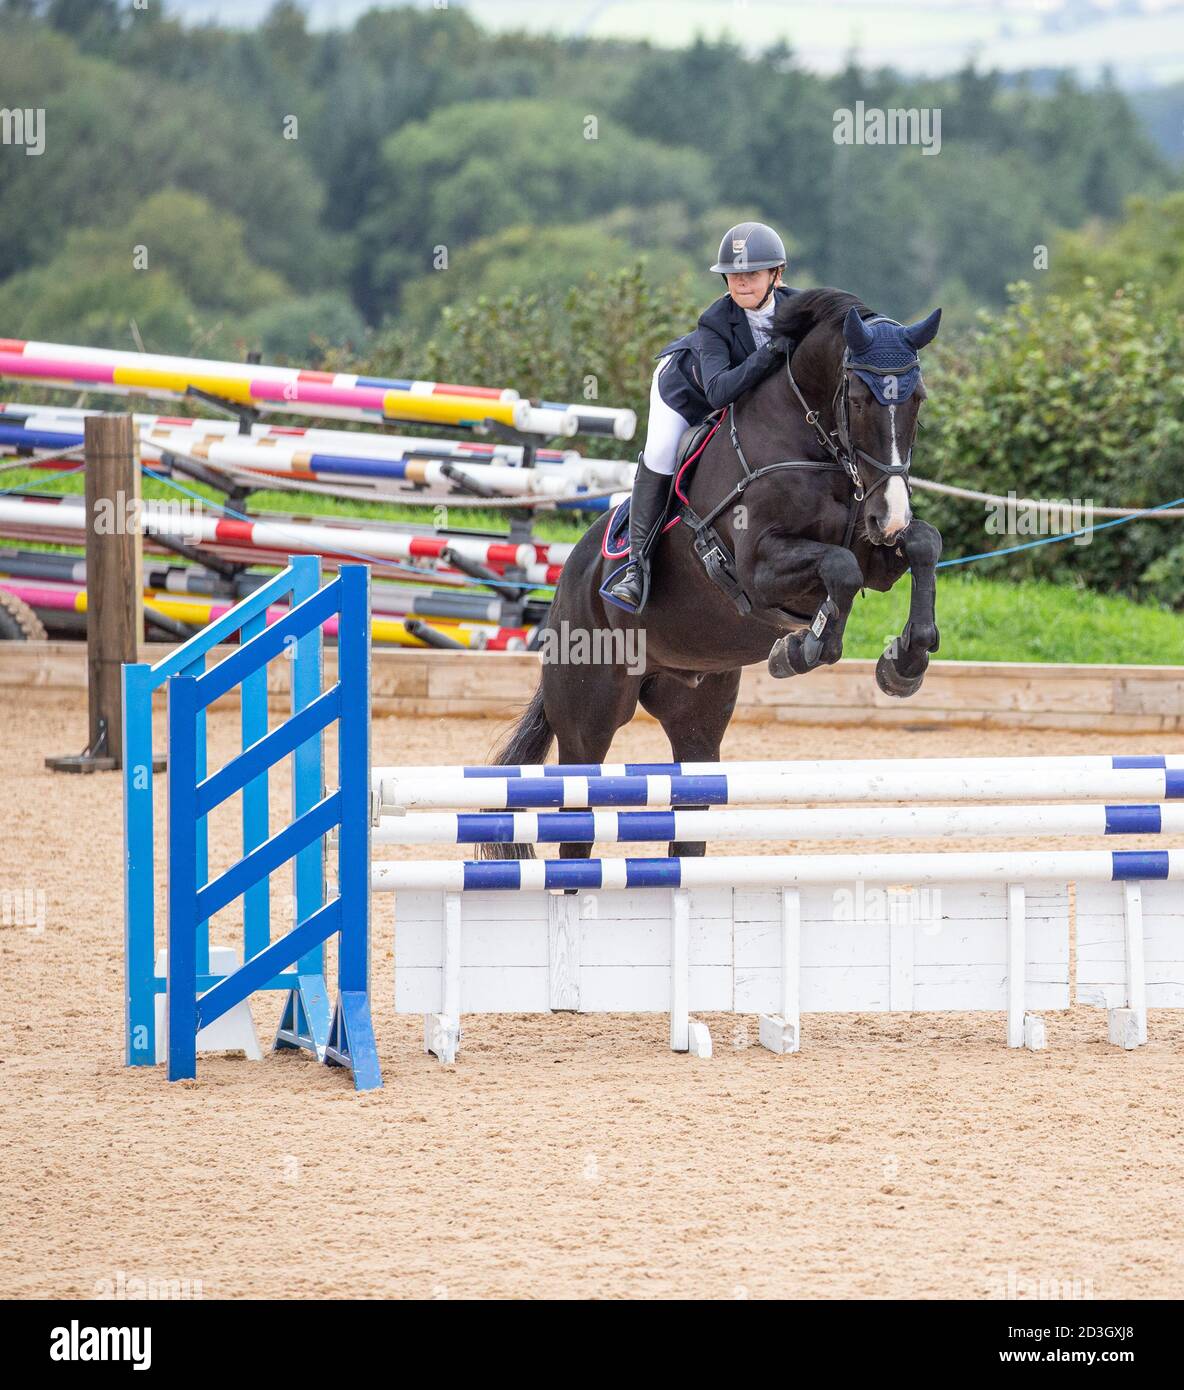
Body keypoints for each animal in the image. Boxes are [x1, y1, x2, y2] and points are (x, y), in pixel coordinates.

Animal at [488, 287, 943, 859]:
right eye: (859, 400)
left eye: (918, 399)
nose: (891, 515)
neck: (814, 449)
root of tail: (567, 582)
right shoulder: (756, 570)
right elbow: (839, 570)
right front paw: (800, 650)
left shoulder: (875, 550)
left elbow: (923, 545)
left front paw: (905, 661)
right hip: (587, 718)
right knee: (577, 821)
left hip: (697, 715)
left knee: (688, 820)